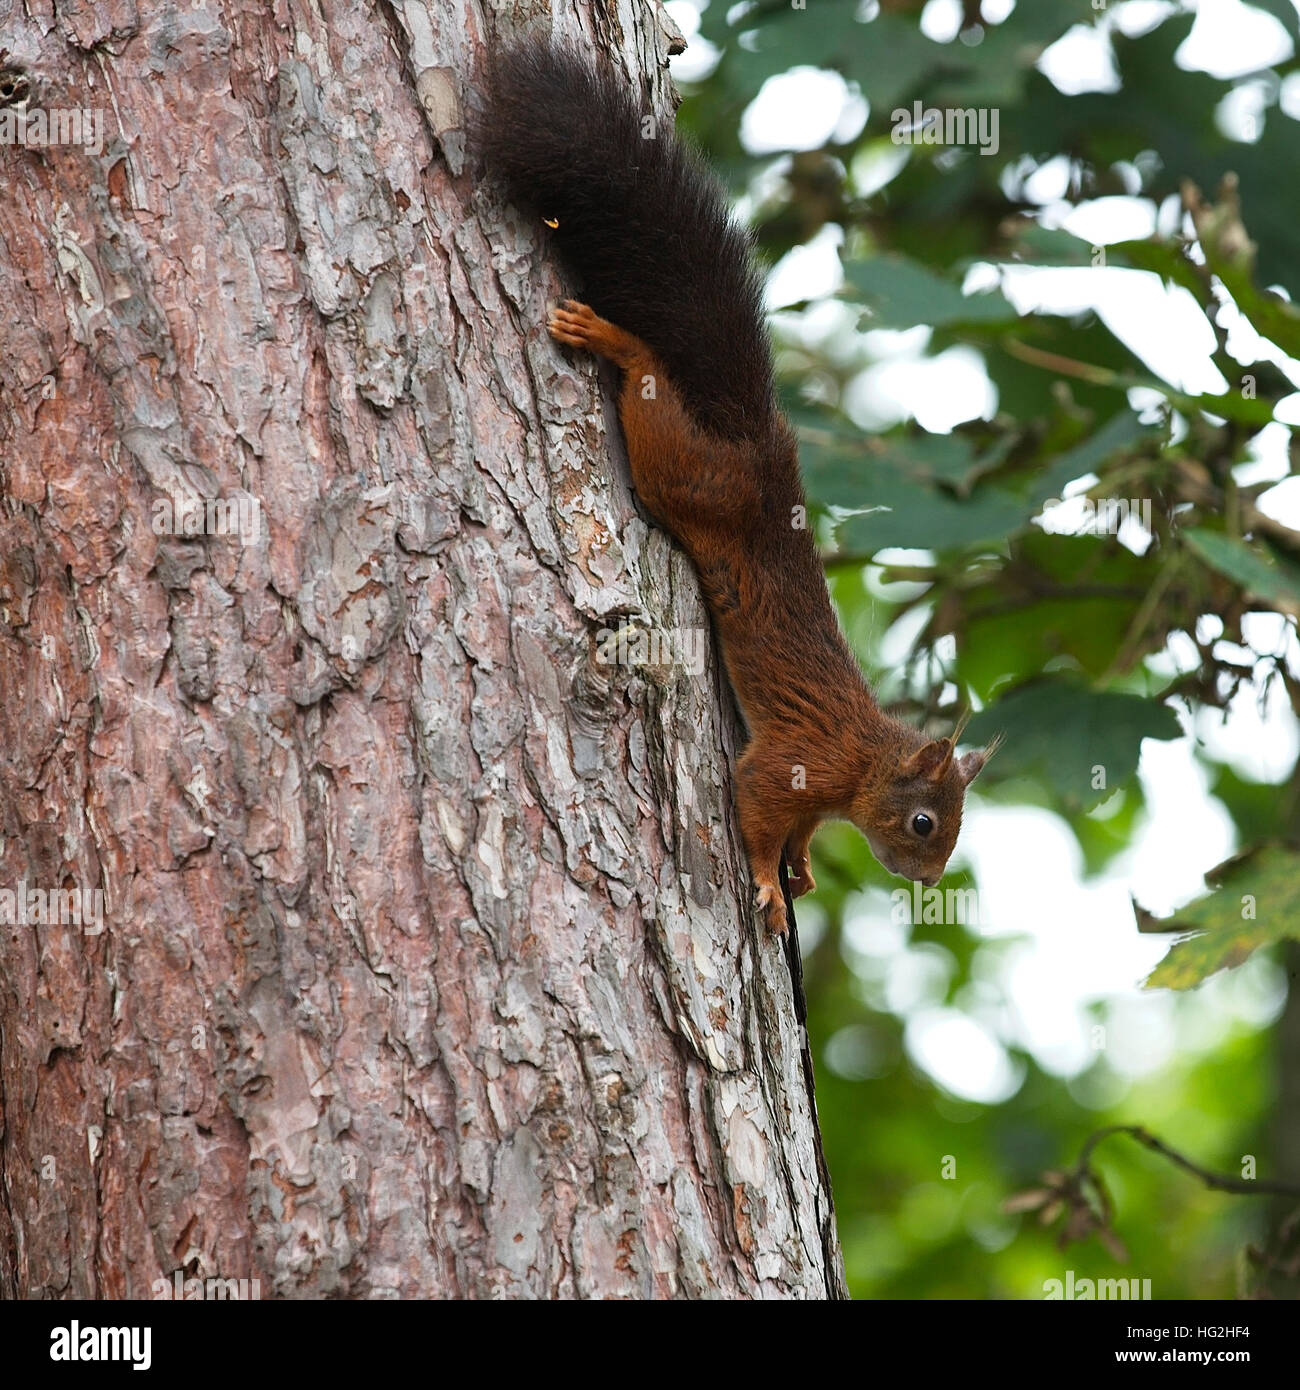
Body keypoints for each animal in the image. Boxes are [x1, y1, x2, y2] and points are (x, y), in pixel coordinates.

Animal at [477, 40, 999, 934]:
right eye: (927, 822)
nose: (929, 882)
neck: (865, 759)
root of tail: (762, 447)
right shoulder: (799, 761)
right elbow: (755, 809)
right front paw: (764, 880)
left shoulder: (813, 795)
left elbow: (797, 835)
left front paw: (802, 869)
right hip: (684, 475)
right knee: (650, 387)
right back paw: (610, 339)